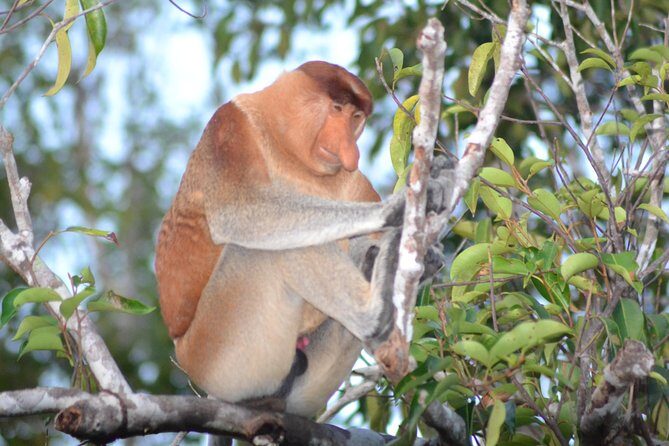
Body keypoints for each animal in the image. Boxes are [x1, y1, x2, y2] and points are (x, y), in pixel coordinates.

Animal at [155, 61, 446, 417]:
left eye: (355, 117)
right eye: (336, 108)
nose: (349, 149)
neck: (287, 147)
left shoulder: (352, 178)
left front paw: (428, 253)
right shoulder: (229, 127)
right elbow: (240, 211)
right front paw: (397, 208)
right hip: (218, 355)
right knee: (264, 248)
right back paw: (376, 310)